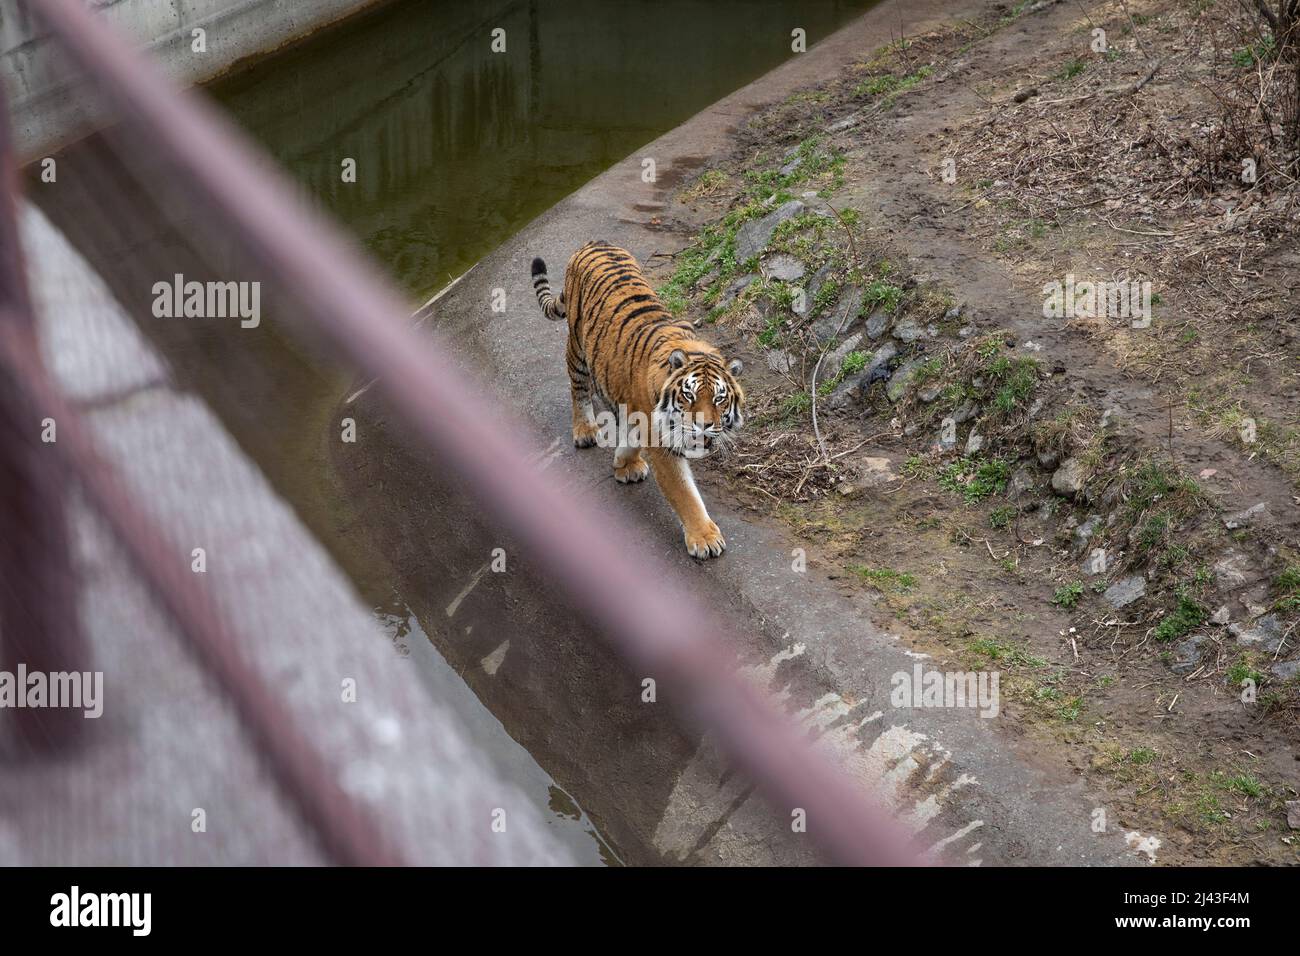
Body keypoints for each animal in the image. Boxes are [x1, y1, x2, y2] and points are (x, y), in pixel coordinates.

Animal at [530, 240, 745, 559]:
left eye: (720, 399)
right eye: (689, 395)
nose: (705, 426)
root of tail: (594, 243)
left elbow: (632, 436)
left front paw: (624, 463)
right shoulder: (663, 444)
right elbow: (684, 494)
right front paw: (705, 539)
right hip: (577, 347)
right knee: (578, 388)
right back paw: (585, 430)